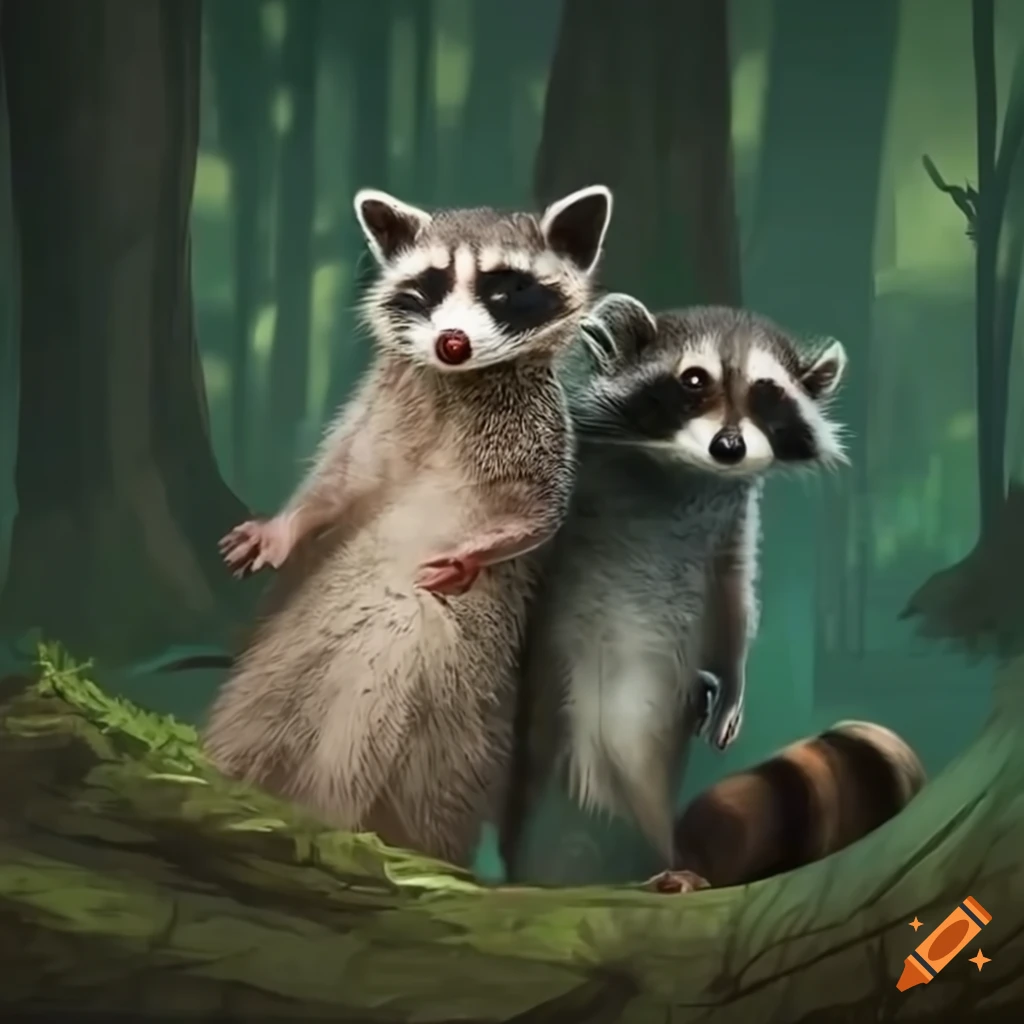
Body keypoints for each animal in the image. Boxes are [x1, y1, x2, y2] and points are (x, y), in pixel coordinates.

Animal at [206, 184, 614, 867]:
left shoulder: (538, 426)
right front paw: (289, 524)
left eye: (506, 289)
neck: (458, 381)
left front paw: (481, 551)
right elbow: (343, 479)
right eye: (430, 282)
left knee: (394, 655)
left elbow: (540, 510)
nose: (452, 341)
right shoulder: (382, 408)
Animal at [501, 293, 848, 883]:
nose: (729, 446)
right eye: (693, 380)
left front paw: (732, 683)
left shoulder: (732, 523)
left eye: (768, 392)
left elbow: (734, 597)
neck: (684, 472)